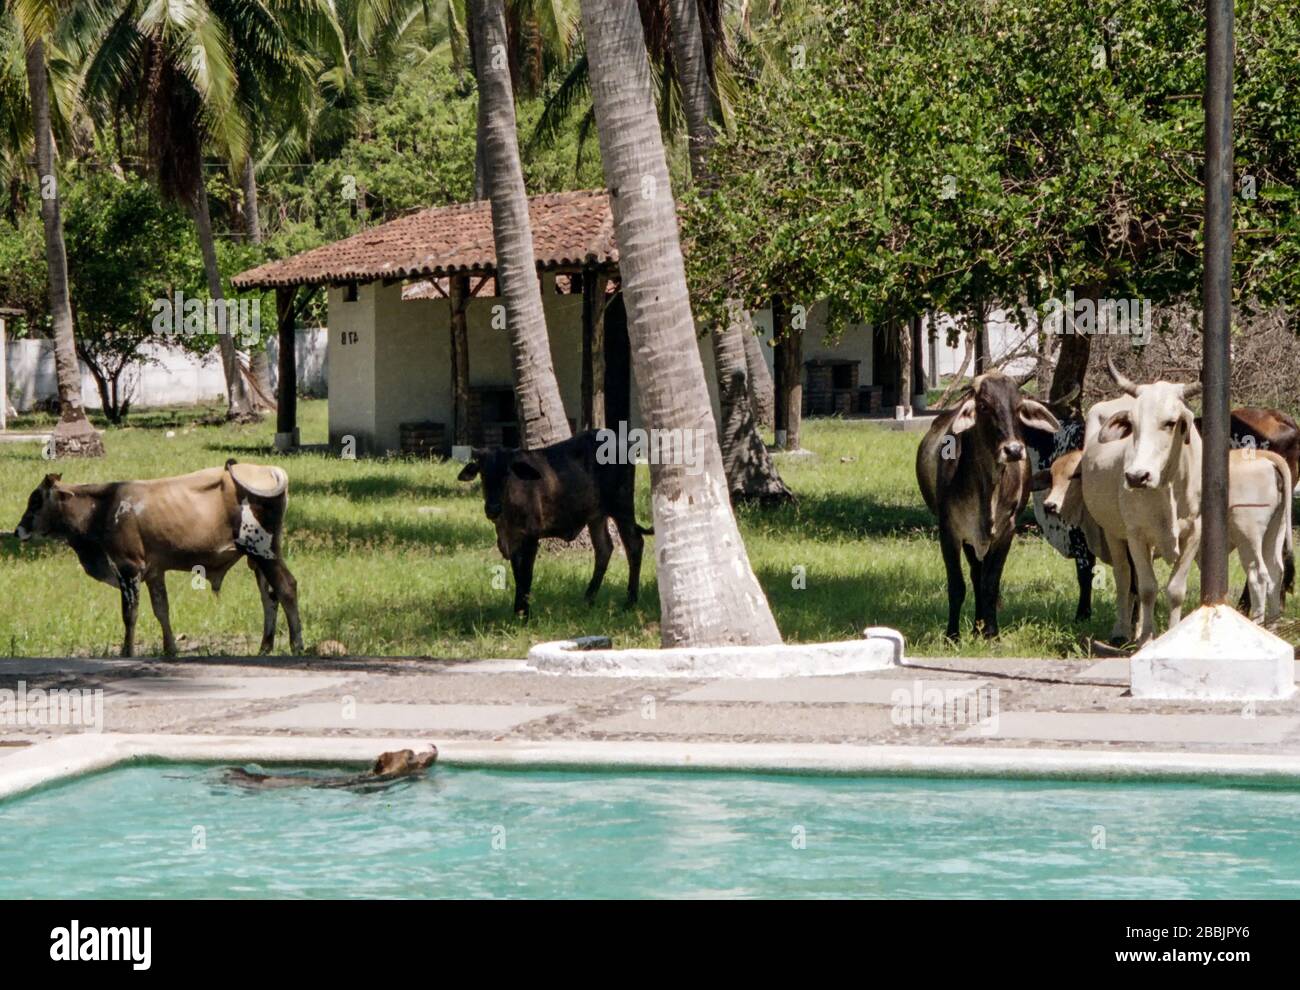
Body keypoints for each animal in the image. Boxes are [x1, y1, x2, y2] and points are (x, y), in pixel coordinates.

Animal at [13, 460, 303, 657]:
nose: (18, 530)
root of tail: (269, 470)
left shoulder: (128, 569)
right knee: (269, 596)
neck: (102, 507)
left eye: (36, 500)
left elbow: (130, 614)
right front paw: (170, 648)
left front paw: (127, 651)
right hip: (259, 557)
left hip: (262, 551)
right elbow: (161, 610)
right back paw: (265, 646)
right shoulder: (154, 572)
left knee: (286, 588)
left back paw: (297, 644)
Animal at [457, 430, 653, 618]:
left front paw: (524, 614)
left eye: (506, 473)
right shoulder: (512, 542)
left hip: (622, 507)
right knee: (604, 548)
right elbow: (517, 574)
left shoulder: (530, 537)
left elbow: (525, 575)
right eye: (482, 473)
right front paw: (518, 611)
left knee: (635, 544)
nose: (492, 508)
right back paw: (588, 599)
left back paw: (630, 601)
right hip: (596, 516)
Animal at [916, 372, 1061, 639]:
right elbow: (957, 586)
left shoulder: (1006, 531)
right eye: (984, 405)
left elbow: (990, 584)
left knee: (980, 577)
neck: (988, 487)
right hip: (968, 539)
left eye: (1018, 407)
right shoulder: (949, 532)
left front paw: (992, 633)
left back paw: (979, 627)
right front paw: (952, 636)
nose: (1013, 450)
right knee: (974, 575)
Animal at [1081, 359, 1202, 647]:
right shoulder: (1136, 535)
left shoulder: (1195, 533)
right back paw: (1123, 631)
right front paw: (1147, 639)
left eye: (1170, 423)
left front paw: (1169, 635)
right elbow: (1147, 588)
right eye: (1133, 424)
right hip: (1114, 533)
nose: (1137, 476)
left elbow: (1175, 590)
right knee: (1125, 578)